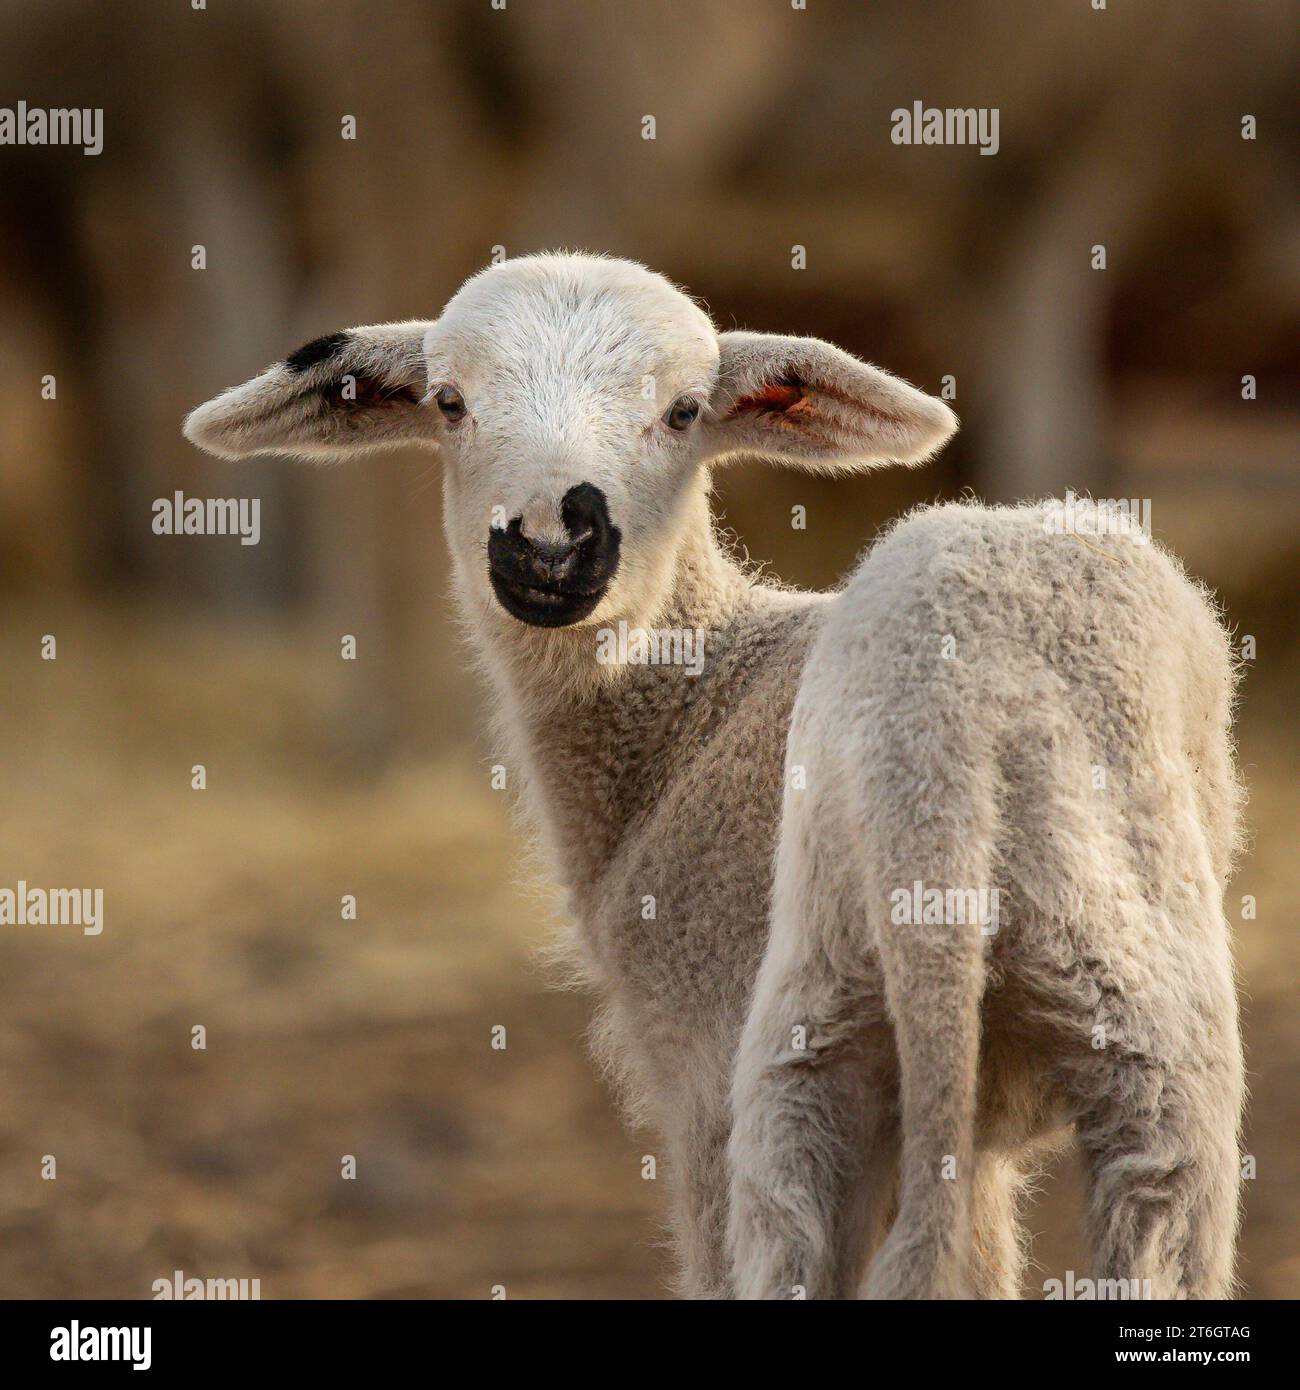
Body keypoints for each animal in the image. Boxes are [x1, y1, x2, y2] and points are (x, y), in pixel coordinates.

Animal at [184, 252, 1245, 1299]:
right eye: (450, 403)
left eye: (684, 411)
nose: (549, 542)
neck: (695, 701)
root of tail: (951, 734)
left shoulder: (698, 1059)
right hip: (1141, 1040)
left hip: (799, 1053)